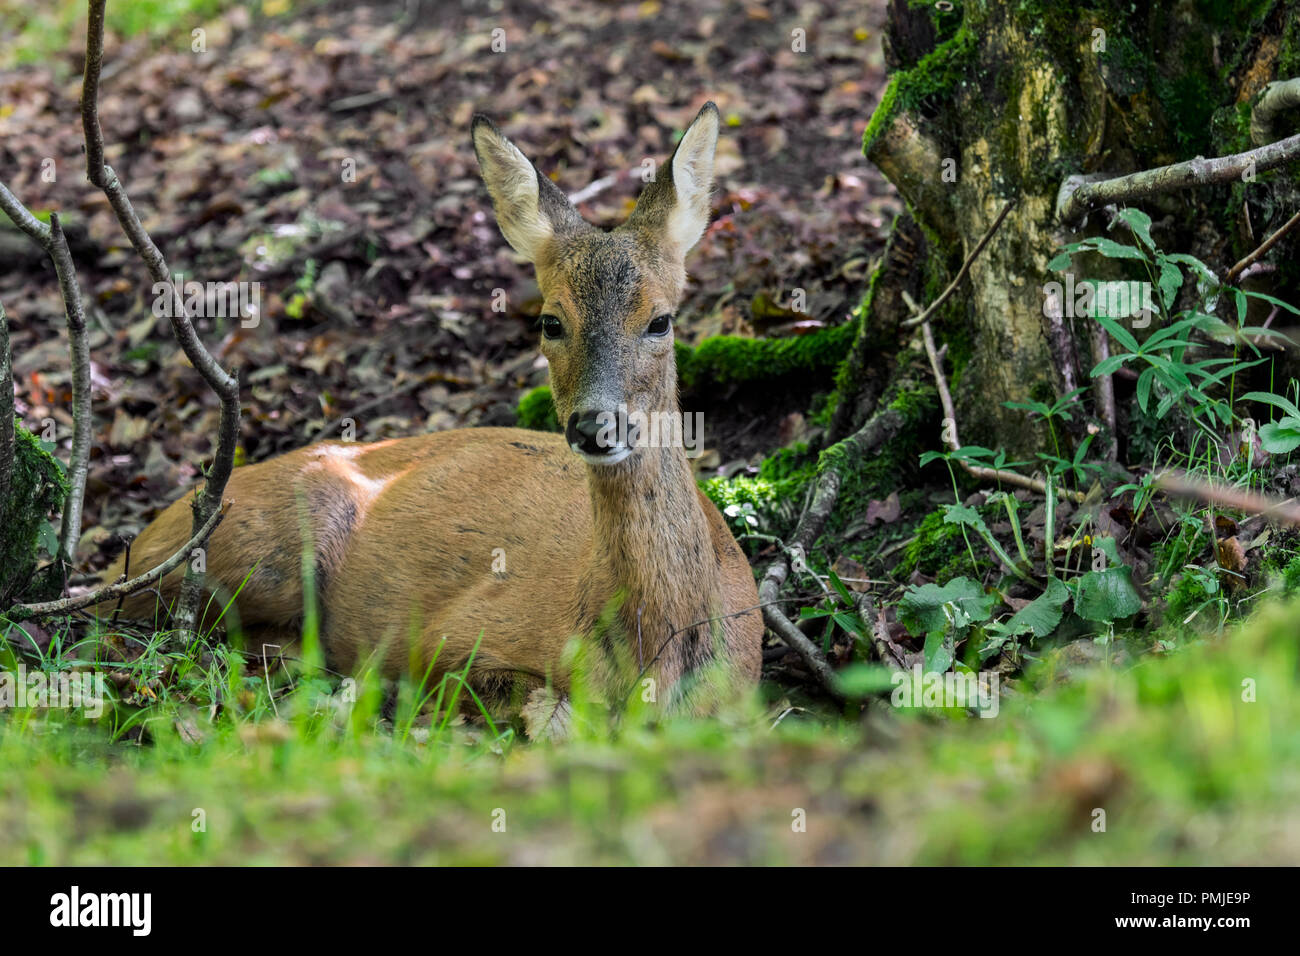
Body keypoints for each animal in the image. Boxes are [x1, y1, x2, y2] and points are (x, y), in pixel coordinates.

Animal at [98, 102, 763, 728]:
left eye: (661, 320)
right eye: (551, 322)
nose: (596, 425)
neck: (652, 652)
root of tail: (125, 552)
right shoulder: (451, 638)